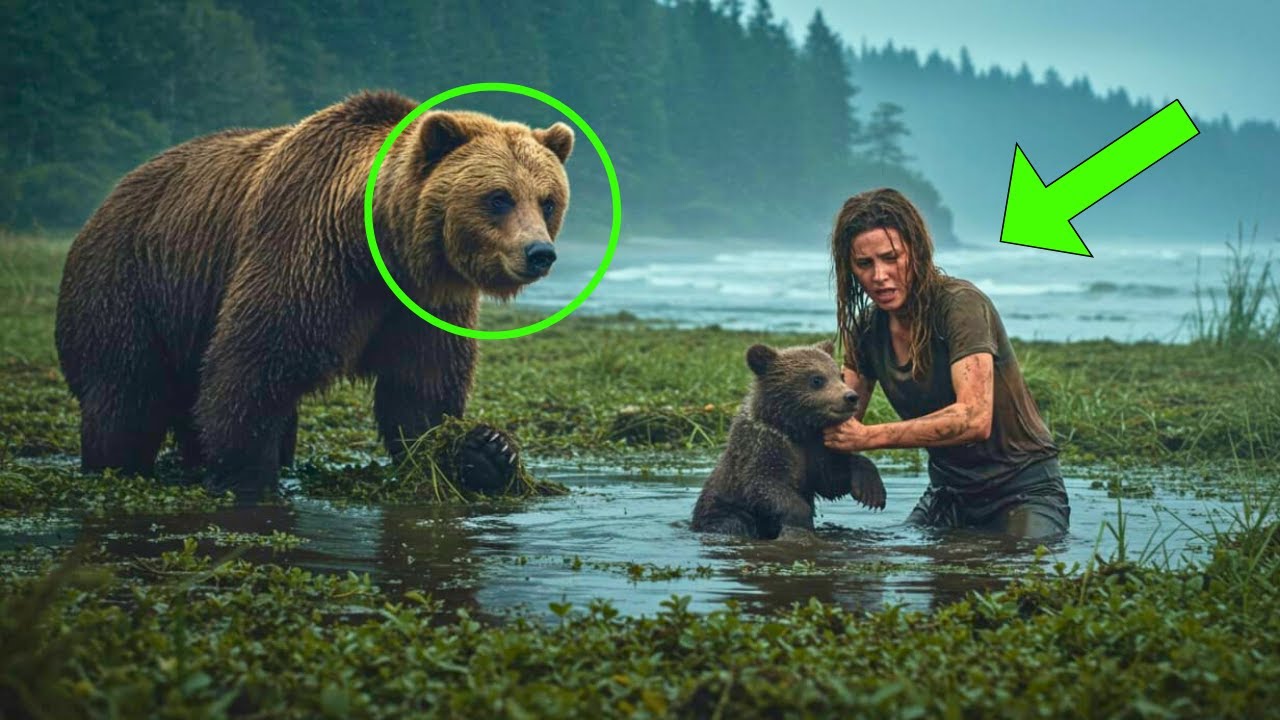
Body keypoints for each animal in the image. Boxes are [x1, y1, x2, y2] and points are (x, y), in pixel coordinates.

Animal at [54, 90, 574, 502]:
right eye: (499, 197)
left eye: (547, 200)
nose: (539, 253)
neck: (380, 248)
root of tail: (109, 199)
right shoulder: (308, 258)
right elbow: (254, 365)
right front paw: (244, 475)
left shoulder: (421, 302)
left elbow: (421, 387)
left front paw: (484, 449)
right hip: (130, 285)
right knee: (126, 396)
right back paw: (118, 463)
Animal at [691, 341, 885, 539]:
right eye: (817, 379)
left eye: (841, 376)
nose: (851, 397)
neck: (794, 427)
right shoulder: (764, 445)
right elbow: (763, 484)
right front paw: (801, 523)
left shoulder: (815, 447)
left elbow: (830, 481)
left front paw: (871, 491)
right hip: (722, 510)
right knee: (733, 523)